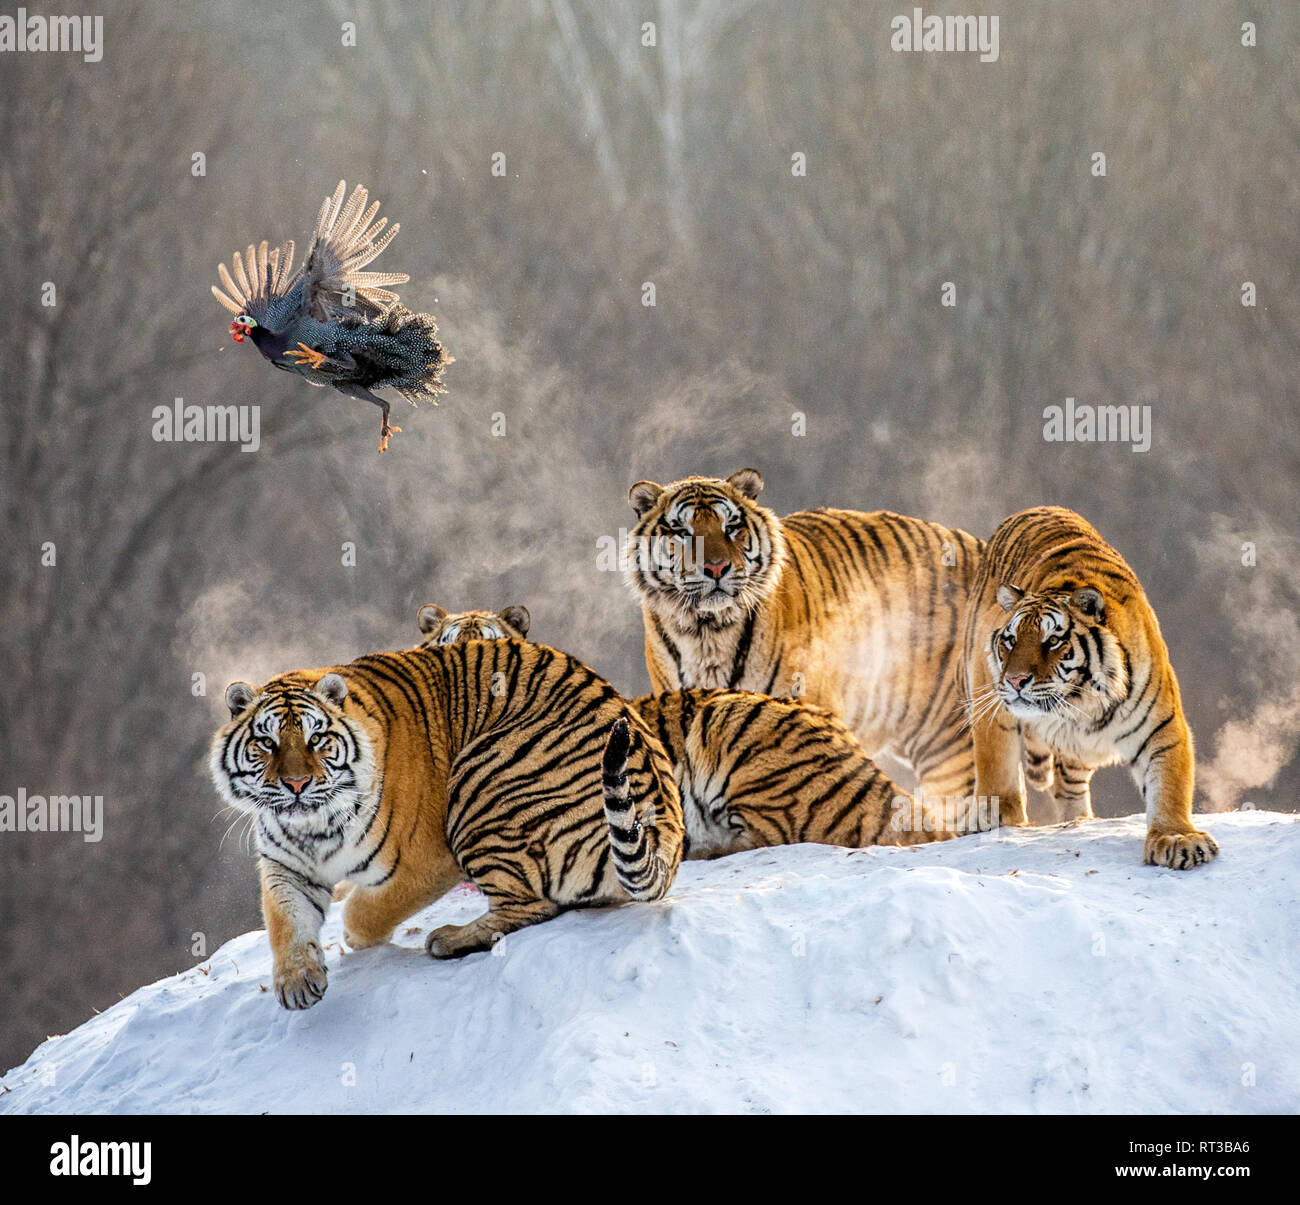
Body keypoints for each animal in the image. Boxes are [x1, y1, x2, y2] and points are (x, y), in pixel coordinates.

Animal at [210, 642, 684, 1009]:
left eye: (316, 739)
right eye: (267, 742)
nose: (295, 784)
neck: (315, 827)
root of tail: (667, 832)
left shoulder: (426, 861)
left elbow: (368, 910)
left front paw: (353, 933)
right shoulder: (285, 864)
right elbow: (286, 918)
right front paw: (296, 981)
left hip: (482, 786)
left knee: (532, 905)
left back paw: (448, 939)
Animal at [960, 505, 1219, 869]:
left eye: (1053, 641)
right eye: (1010, 640)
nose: (1015, 680)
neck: (1079, 702)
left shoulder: (1162, 726)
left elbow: (1170, 783)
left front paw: (1177, 838)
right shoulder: (993, 701)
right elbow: (995, 760)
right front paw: (993, 815)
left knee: (1068, 785)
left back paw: (1079, 820)